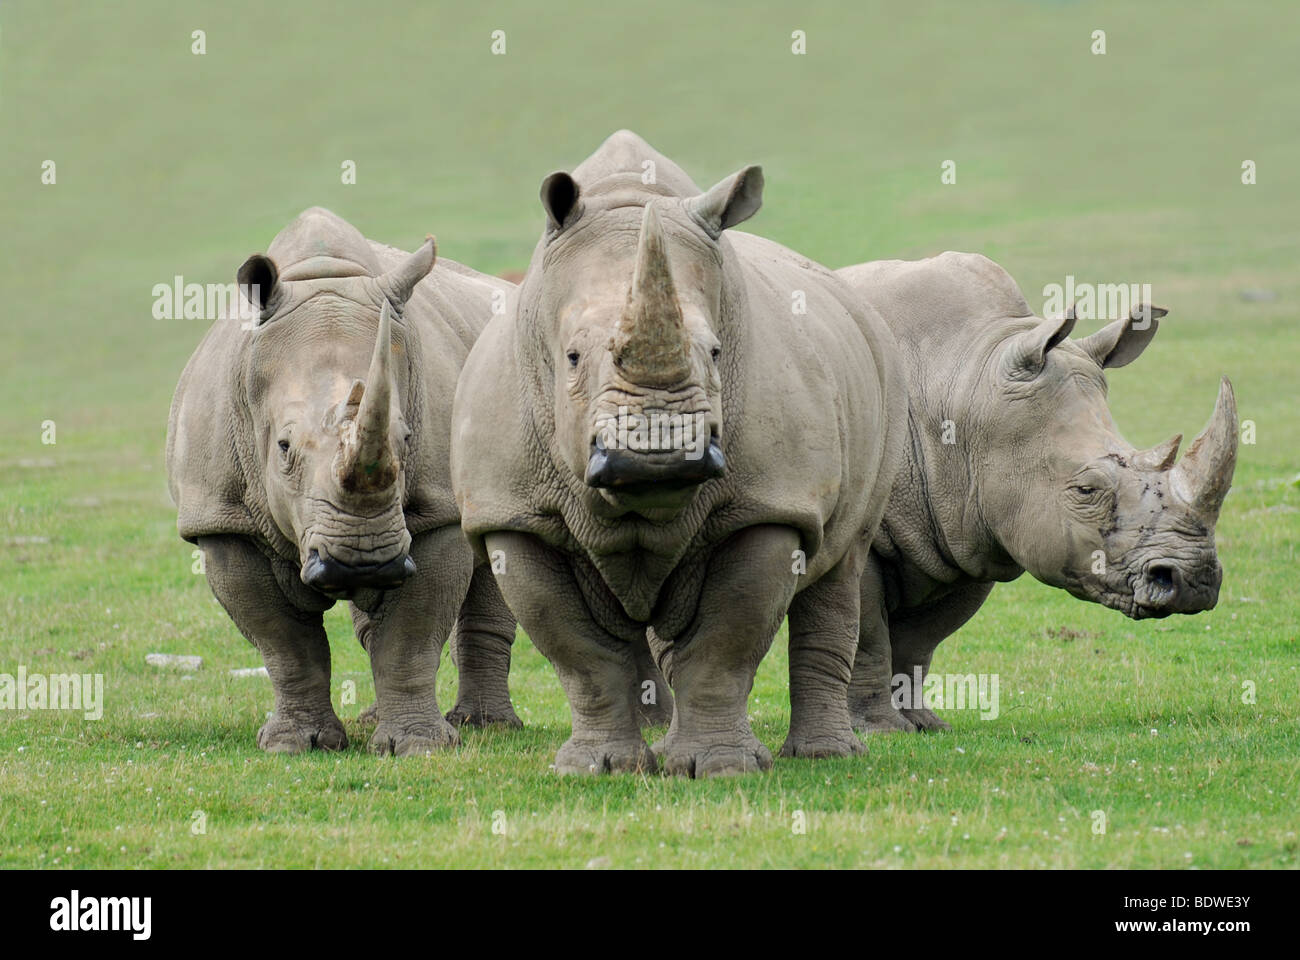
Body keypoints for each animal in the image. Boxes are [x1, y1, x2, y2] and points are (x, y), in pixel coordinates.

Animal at [166, 207, 518, 755]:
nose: (364, 559)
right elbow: (284, 642)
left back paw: (485, 726)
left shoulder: (437, 508)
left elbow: (413, 635)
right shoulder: (222, 520)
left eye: (407, 437)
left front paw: (419, 747)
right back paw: (377, 719)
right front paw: (295, 744)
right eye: (283, 447)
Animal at [450, 131, 906, 777]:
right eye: (571, 357)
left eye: (715, 352)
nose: (656, 454)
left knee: (843, 559)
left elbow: (724, 643)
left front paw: (720, 768)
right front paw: (596, 768)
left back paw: (824, 756)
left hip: (885, 372)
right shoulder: (514, 515)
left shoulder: (767, 504)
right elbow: (578, 652)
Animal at [833, 252, 1237, 732]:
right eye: (1086, 490)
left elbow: (922, 638)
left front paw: (926, 726)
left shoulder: (964, 531)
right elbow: (867, 635)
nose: (1194, 582)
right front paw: (882, 730)